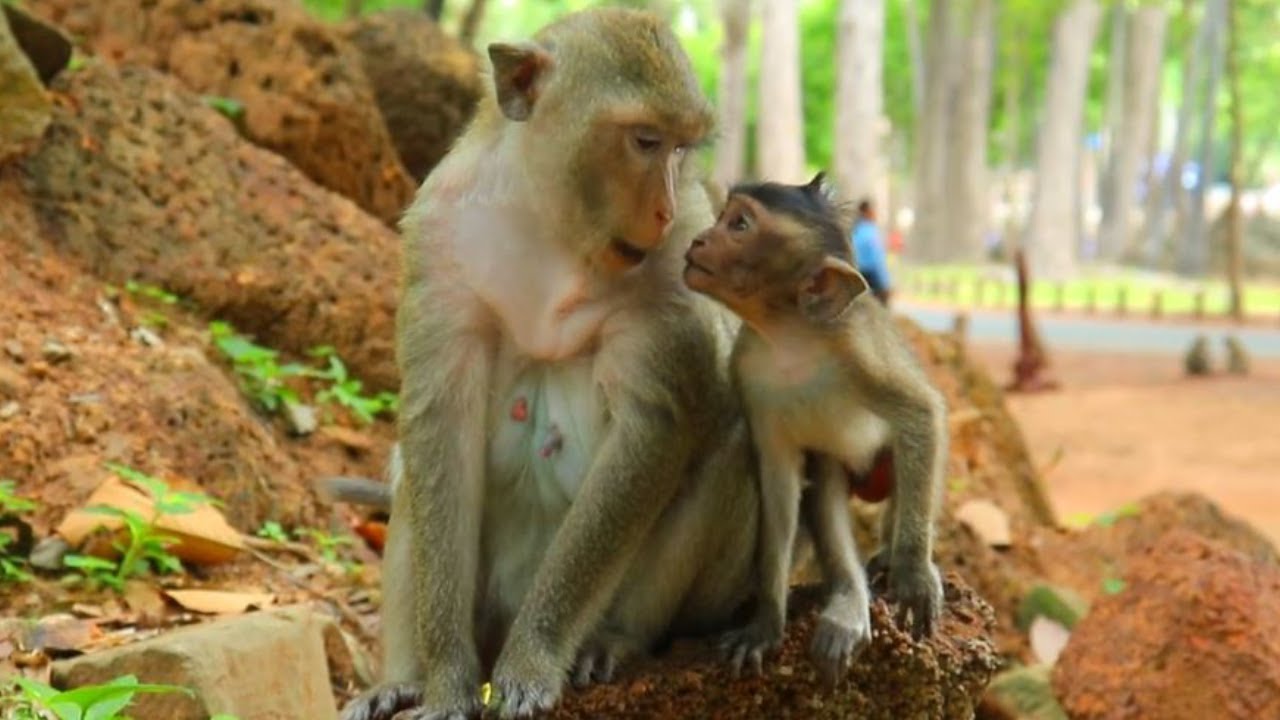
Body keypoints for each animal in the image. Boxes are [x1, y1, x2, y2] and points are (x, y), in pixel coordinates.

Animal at [340, 9, 770, 720]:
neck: (550, 223)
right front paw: (446, 681)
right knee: (411, 469)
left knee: (731, 437)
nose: (663, 209)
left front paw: (532, 661)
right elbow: (438, 423)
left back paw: (614, 640)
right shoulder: (437, 235)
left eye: (682, 149)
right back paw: (402, 678)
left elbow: (654, 429)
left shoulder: (678, 255)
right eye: (645, 141)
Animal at [682, 172, 947, 679]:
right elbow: (779, 484)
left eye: (739, 225)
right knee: (825, 484)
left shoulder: (858, 350)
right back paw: (847, 602)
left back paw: (892, 557)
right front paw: (767, 621)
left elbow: (920, 415)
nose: (699, 239)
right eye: (723, 217)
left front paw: (913, 573)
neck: (790, 337)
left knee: (909, 460)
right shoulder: (748, 373)